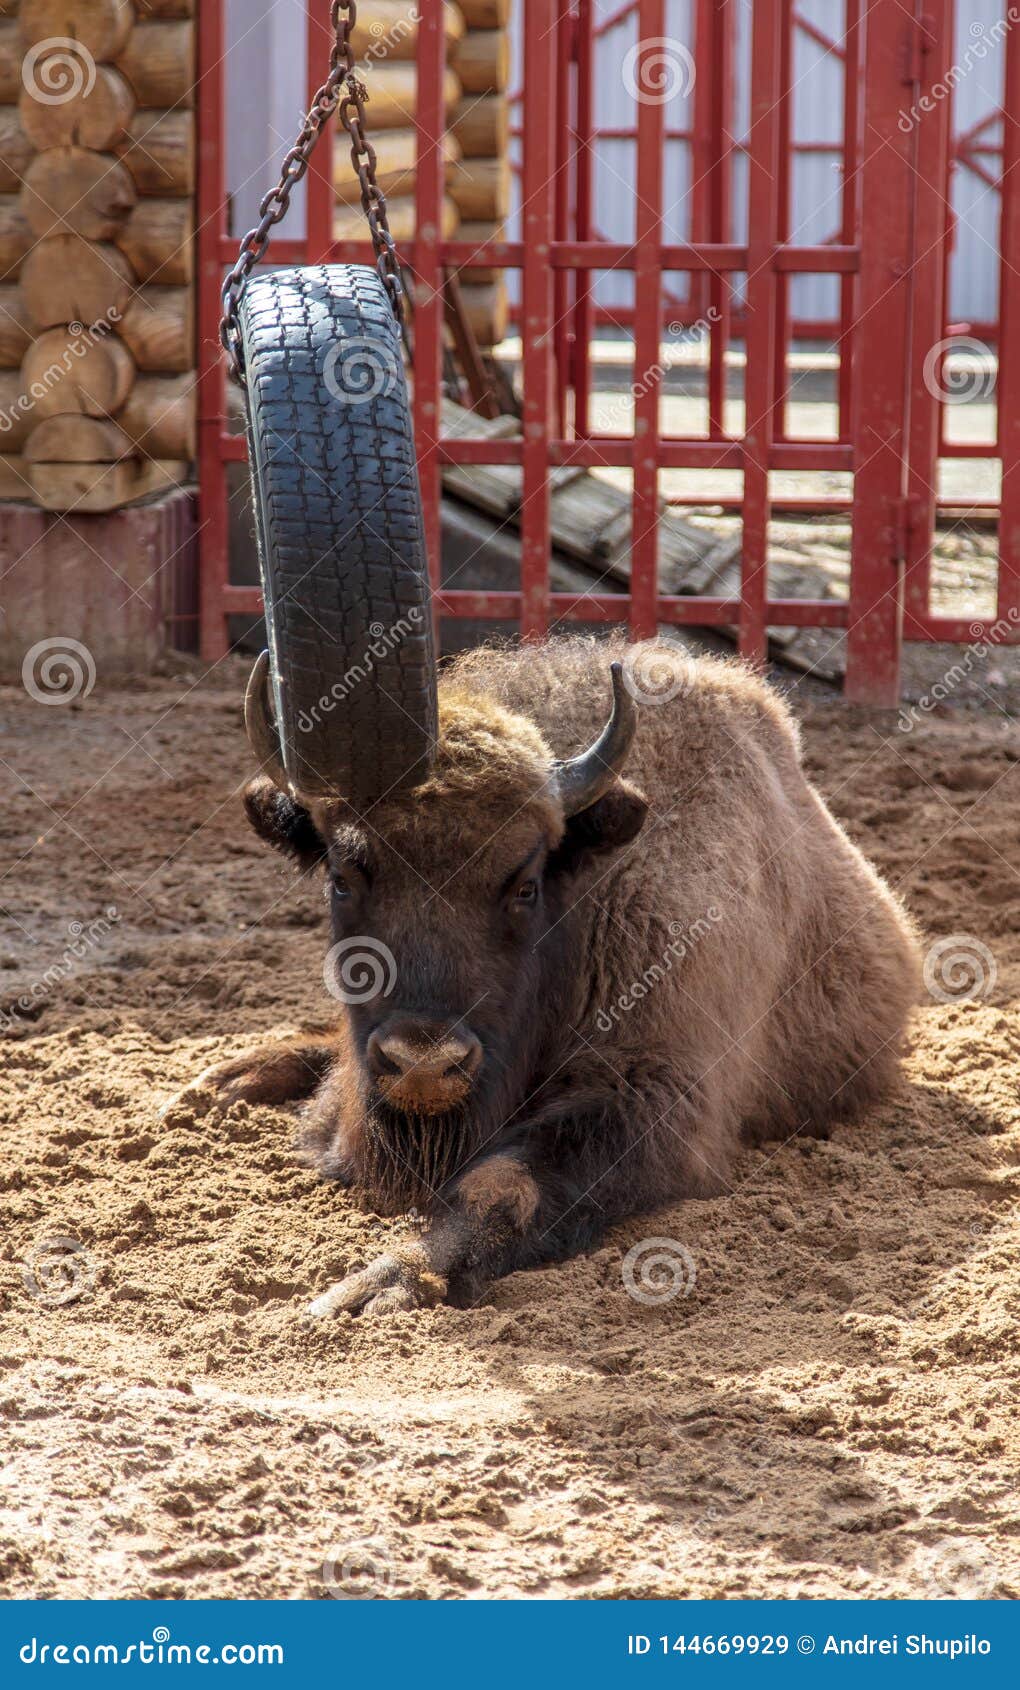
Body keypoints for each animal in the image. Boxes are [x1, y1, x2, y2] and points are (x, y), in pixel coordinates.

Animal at [186, 637, 920, 1318]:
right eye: (342, 878)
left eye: (525, 884)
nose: (423, 1062)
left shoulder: (656, 1096)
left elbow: (503, 1185)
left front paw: (378, 1286)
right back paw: (221, 1083)